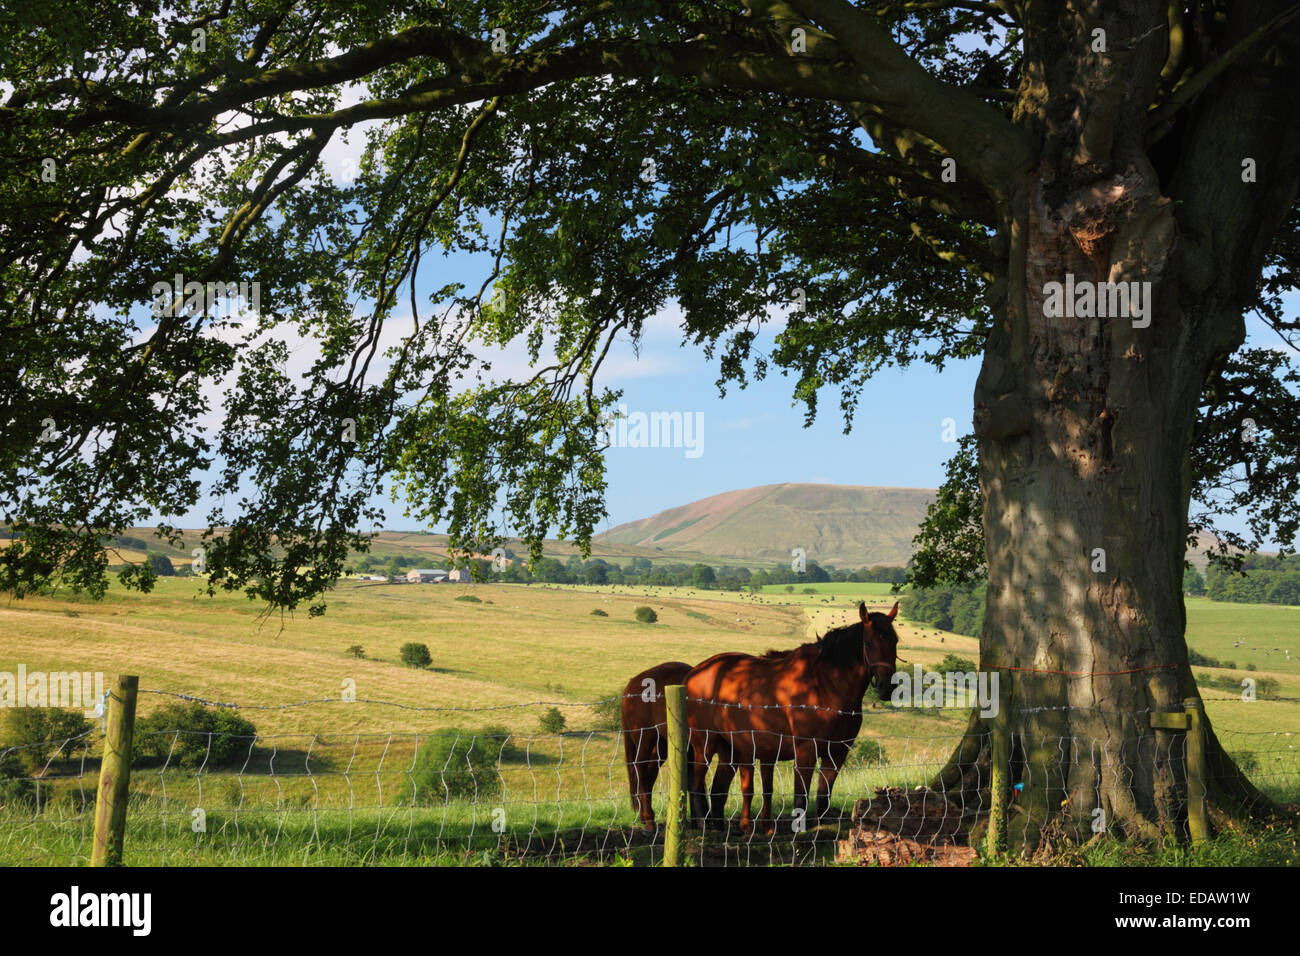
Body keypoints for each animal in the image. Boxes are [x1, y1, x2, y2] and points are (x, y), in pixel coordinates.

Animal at [620, 660, 694, 831]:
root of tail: (632, 684)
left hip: (662, 743)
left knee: (650, 771)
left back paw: (645, 815)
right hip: (646, 737)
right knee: (640, 767)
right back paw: (648, 819)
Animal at [683, 601, 899, 833]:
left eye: (895, 641)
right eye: (868, 643)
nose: (887, 687)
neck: (825, 684)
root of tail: (693, 674)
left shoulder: (838, 752)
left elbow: (823, 796)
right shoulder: (806, 749)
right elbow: (801, 796)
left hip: (729, 749)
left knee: (718, 790)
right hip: (705, 744)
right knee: (696, 786)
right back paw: (704, 825)